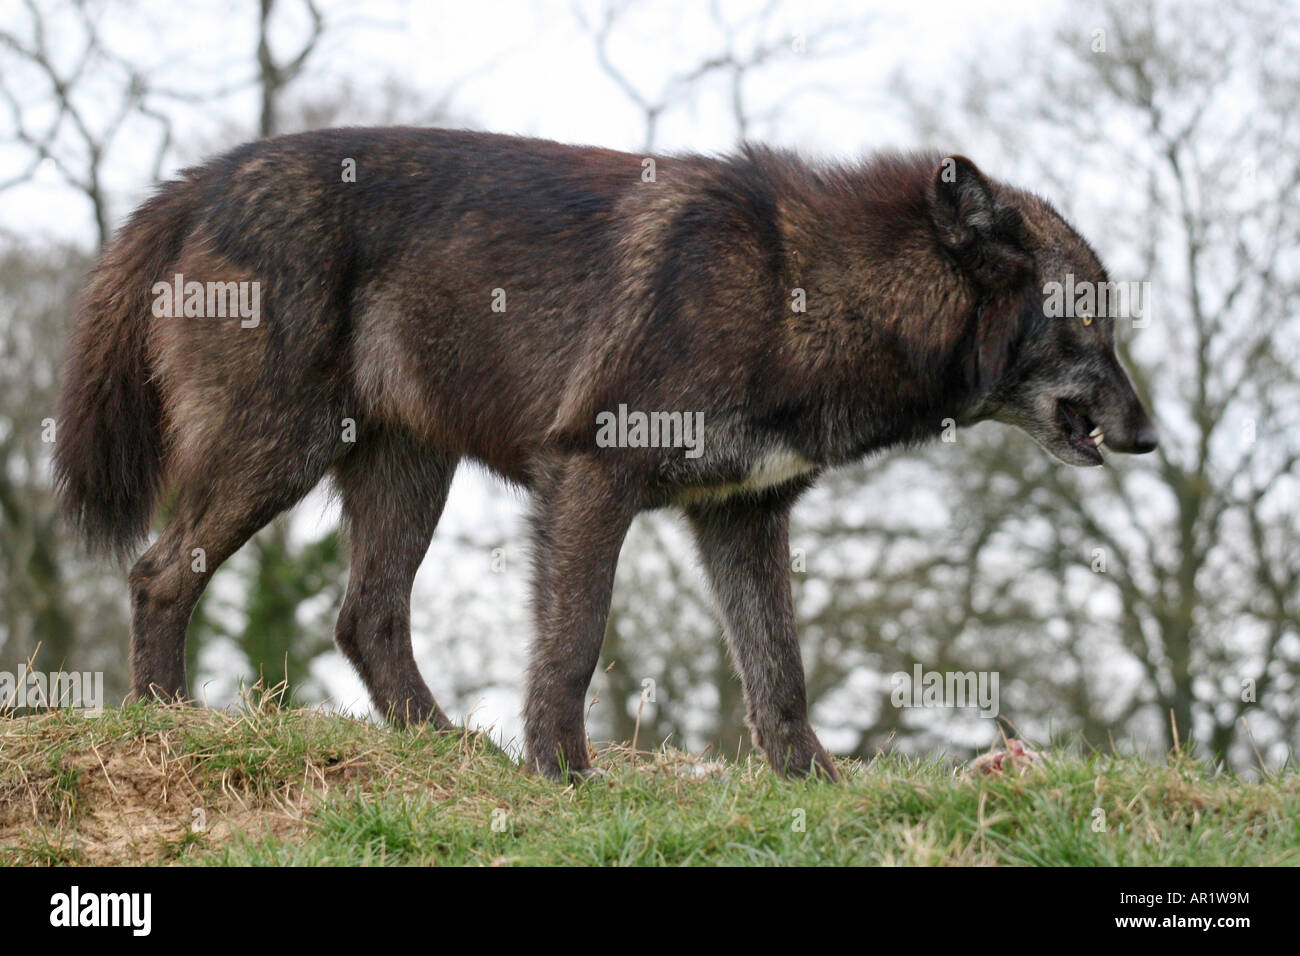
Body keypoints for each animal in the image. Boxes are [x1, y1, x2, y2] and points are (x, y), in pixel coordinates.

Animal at [54, 129, 1156, 782]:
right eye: (1089, 320)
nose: (1149, 434)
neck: (801, 287)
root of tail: (205, 176)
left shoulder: (743, 515)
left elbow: (780, 671)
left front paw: (815, 786)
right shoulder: (590, 474)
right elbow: (575, 643)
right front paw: (562, 774)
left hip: (408, 472)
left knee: (364, 616)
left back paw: (440, 743)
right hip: (277, 450)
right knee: (159, 571)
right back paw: (168, 720)